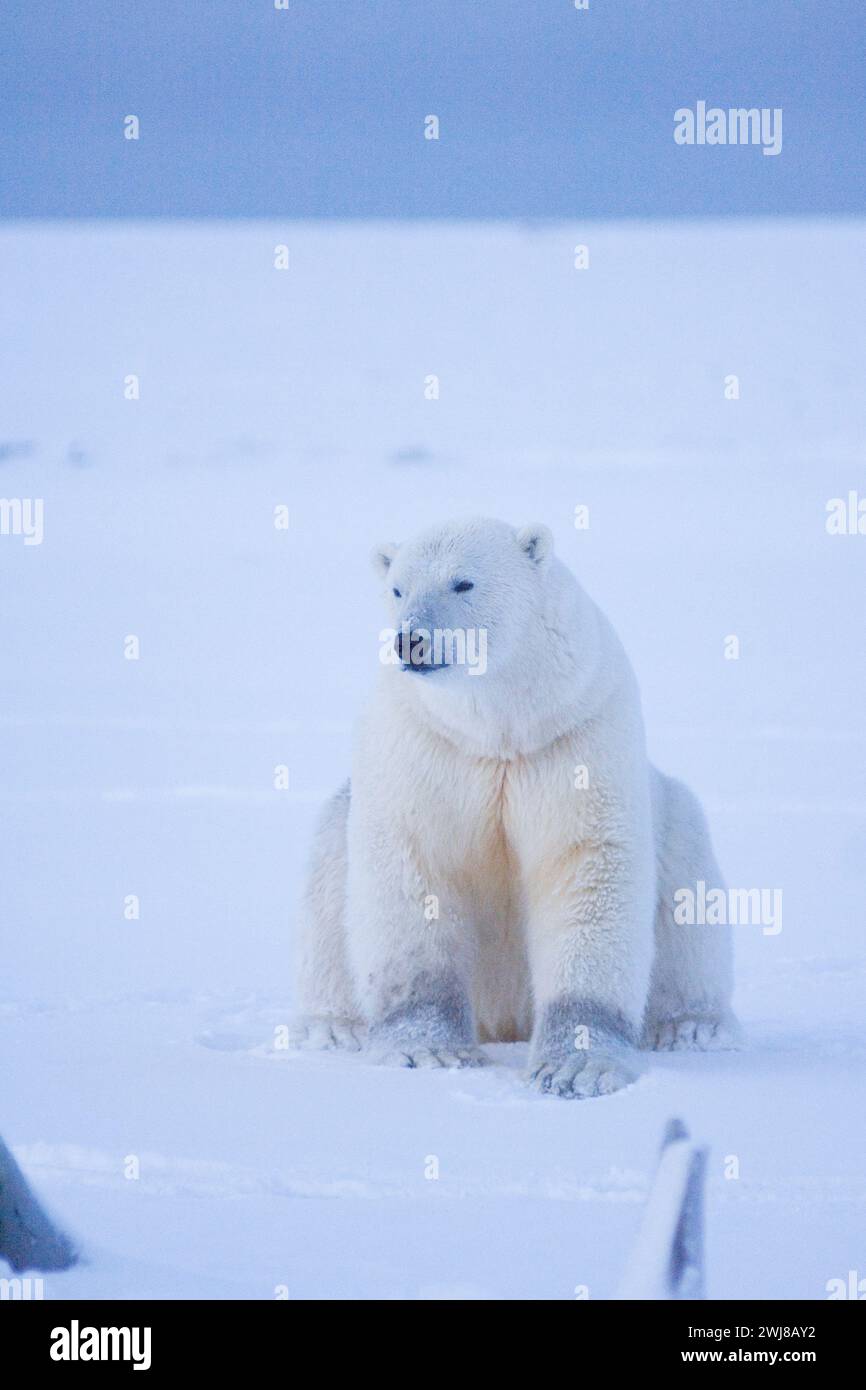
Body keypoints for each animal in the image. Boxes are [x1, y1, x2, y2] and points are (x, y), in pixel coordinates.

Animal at [292, 517, 739, 1097]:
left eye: (463, 582)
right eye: (397, 589)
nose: (411, 640)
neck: (500, 730)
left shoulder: (573, 736)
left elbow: (586, 865)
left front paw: (575, 1067)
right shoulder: (424, 743)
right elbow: (413, 867)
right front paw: (429, 1050)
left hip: (671, 815)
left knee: (690, 888)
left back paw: (692, 1026)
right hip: (341, 825)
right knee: (327, 880)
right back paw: (331, 1028)